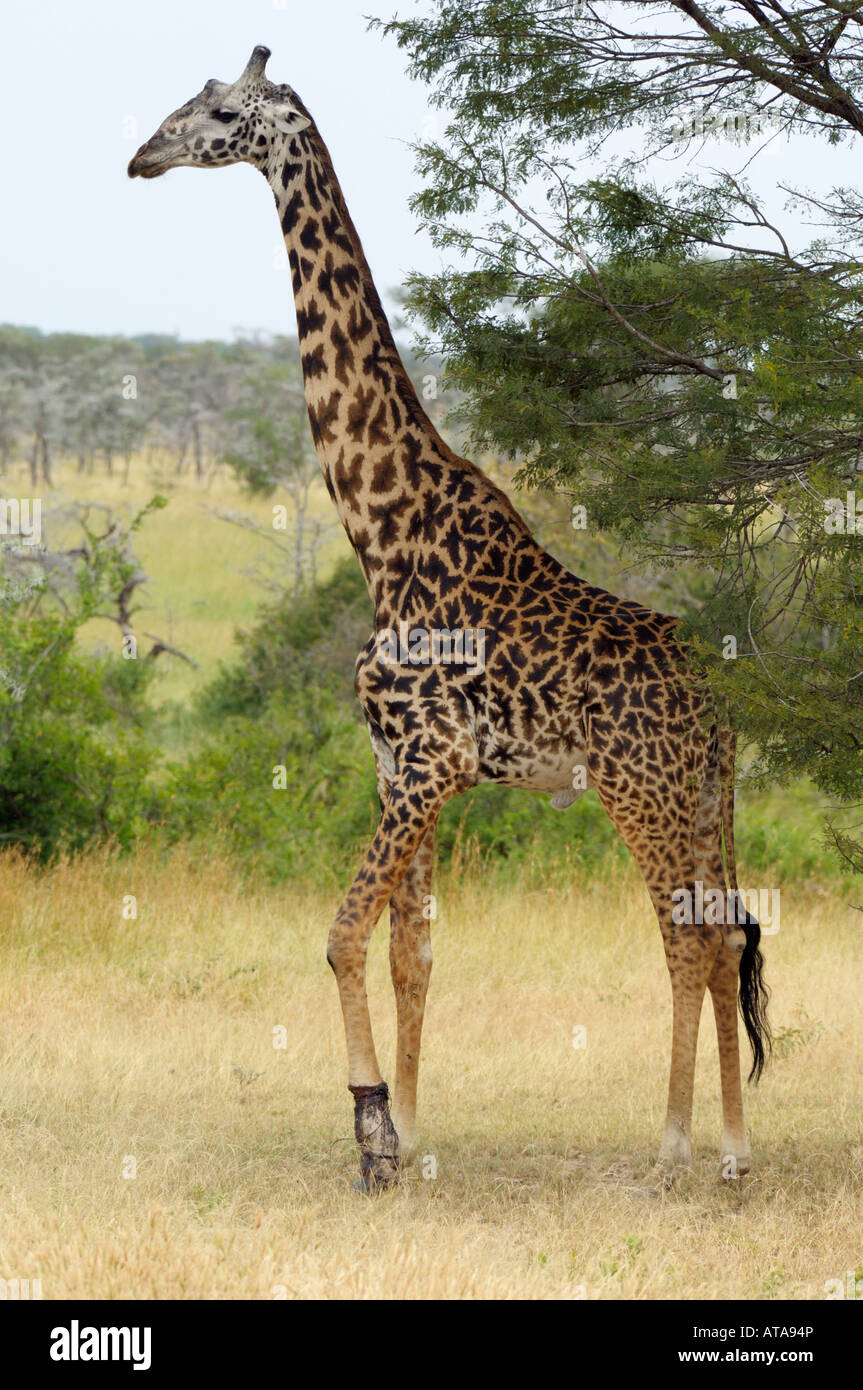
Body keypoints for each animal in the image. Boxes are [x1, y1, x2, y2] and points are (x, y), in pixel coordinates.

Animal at [129, 46, 770, 1191]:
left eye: (219, 112)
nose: (141, 156)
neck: (379, 529)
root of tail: (719, 699)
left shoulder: (429, 758)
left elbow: (340, 935)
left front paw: (372, 1129)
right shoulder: (398, 764)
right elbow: (409, 949)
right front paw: (413, 1130)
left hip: (638, 791)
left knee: (686, 941)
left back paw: (671, 1147)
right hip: (701, 797)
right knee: (727, 936)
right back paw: (734, 1151)